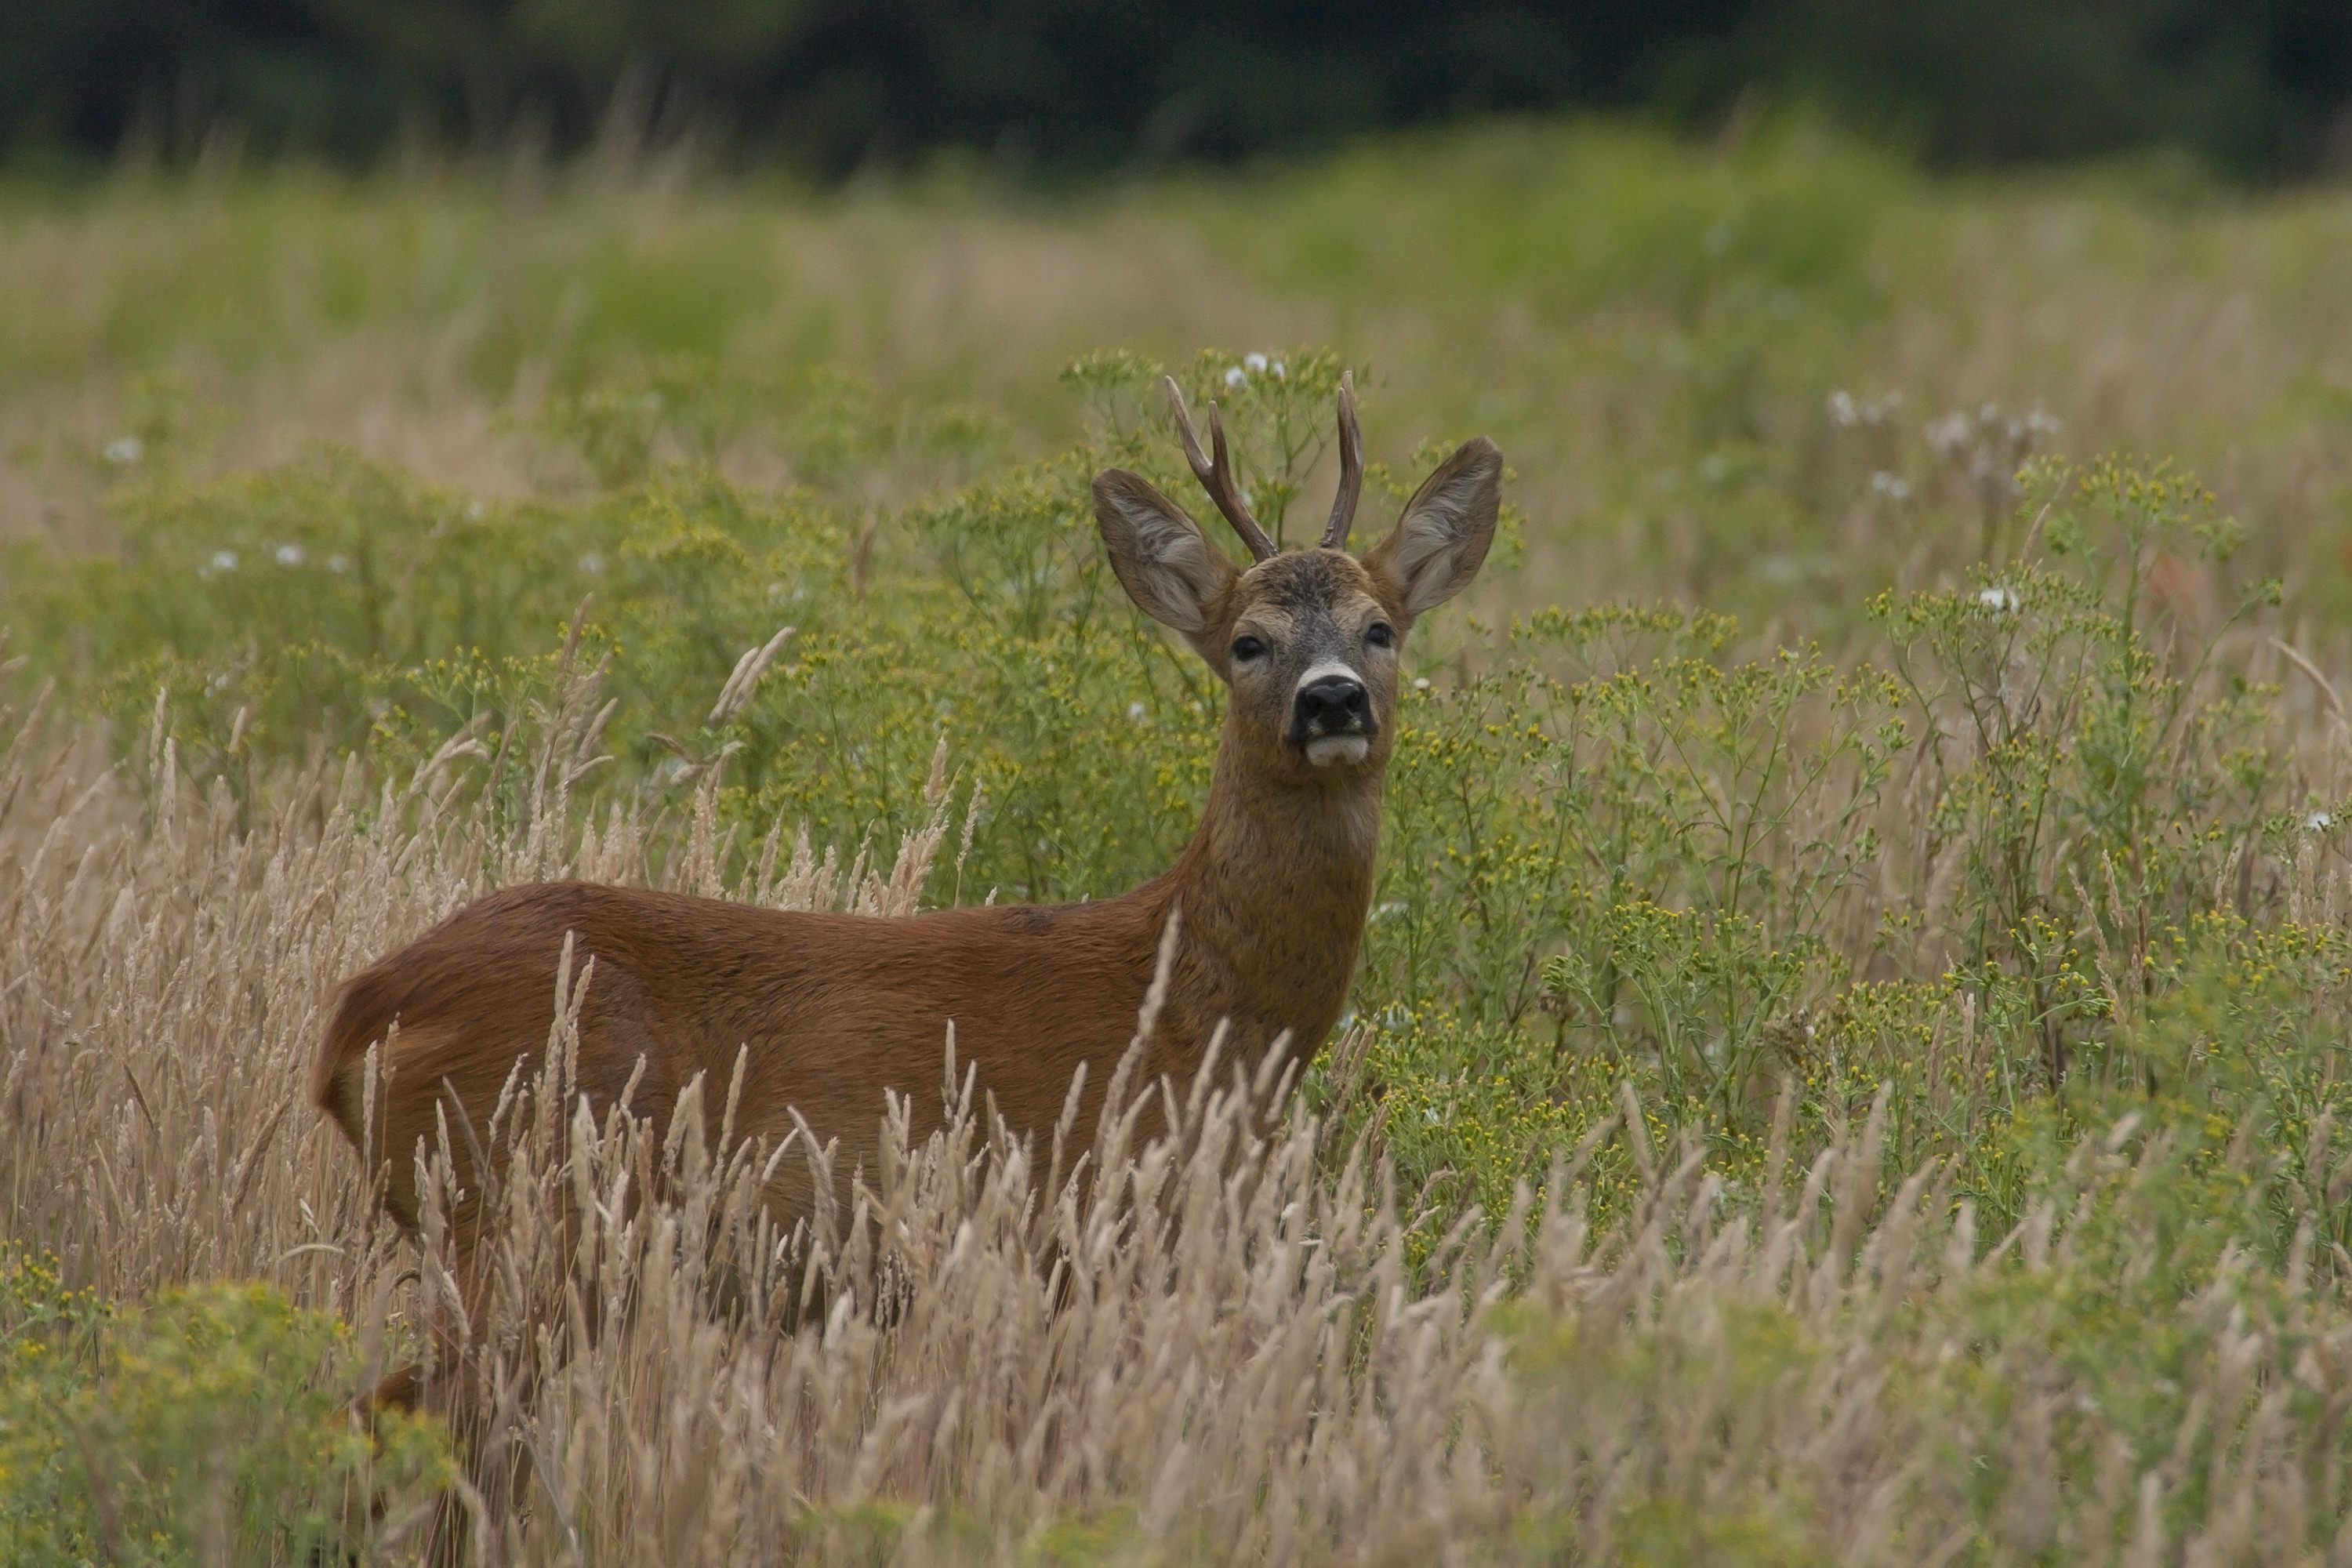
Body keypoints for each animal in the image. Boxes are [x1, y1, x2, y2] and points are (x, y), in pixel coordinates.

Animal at [312, 373, 1502, 1423]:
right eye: (1248, 642)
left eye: (1381, 628)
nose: (1331, 699)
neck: (1190, 1007)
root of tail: (352, 1020)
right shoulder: (1082, 1232)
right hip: (520, 1214)